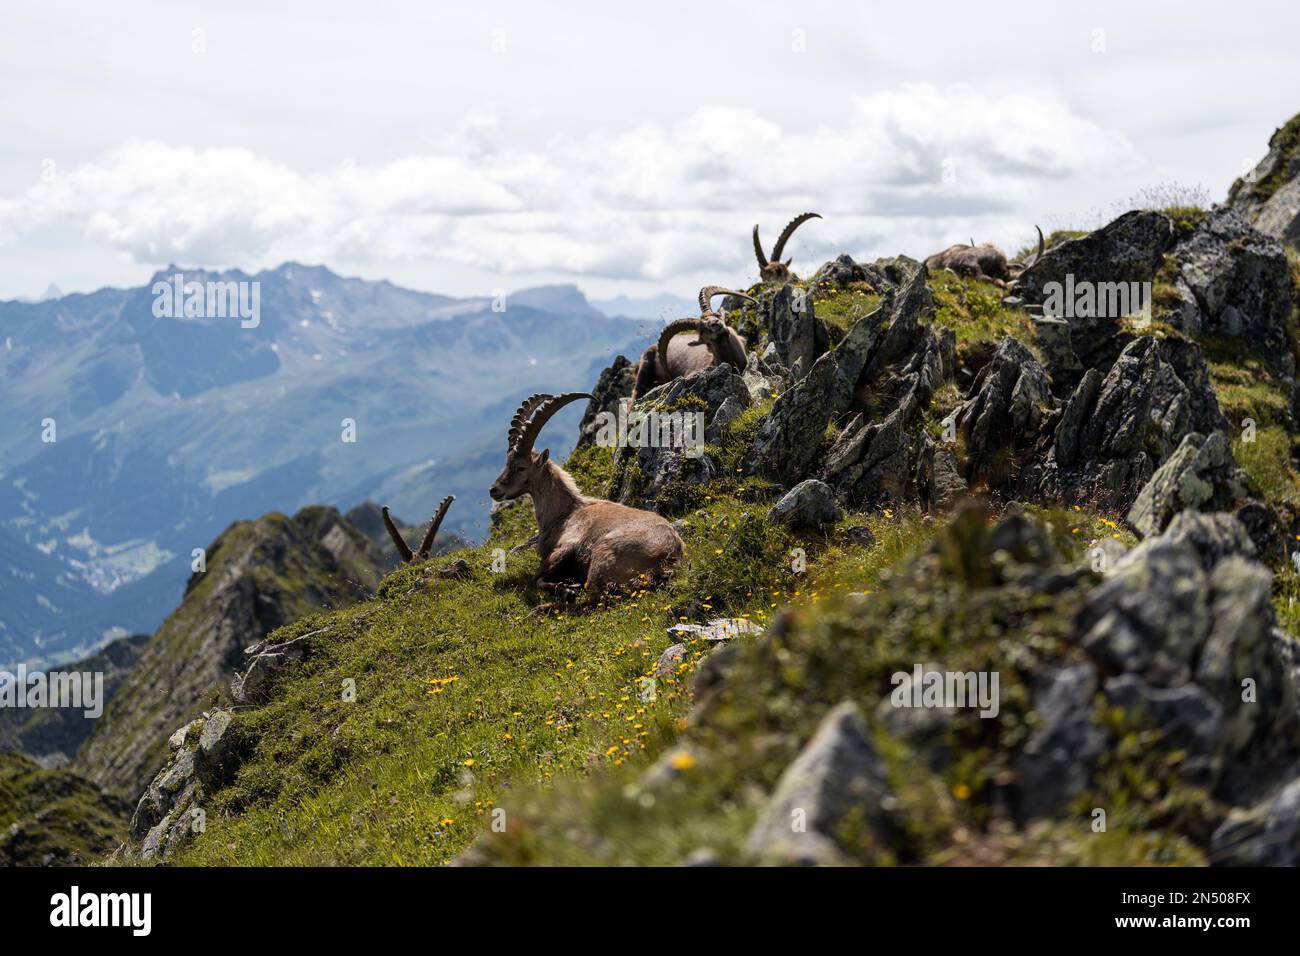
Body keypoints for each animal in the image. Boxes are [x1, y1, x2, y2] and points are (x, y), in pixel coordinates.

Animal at [489, 392, 684, 600]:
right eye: (507, 462)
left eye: (520, 467)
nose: (493, 489)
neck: (563, 513)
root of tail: (669, 556)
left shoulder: (568, 545)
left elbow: (536, 579)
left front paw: (566, 588)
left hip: (603, 551)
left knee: (593, 594)